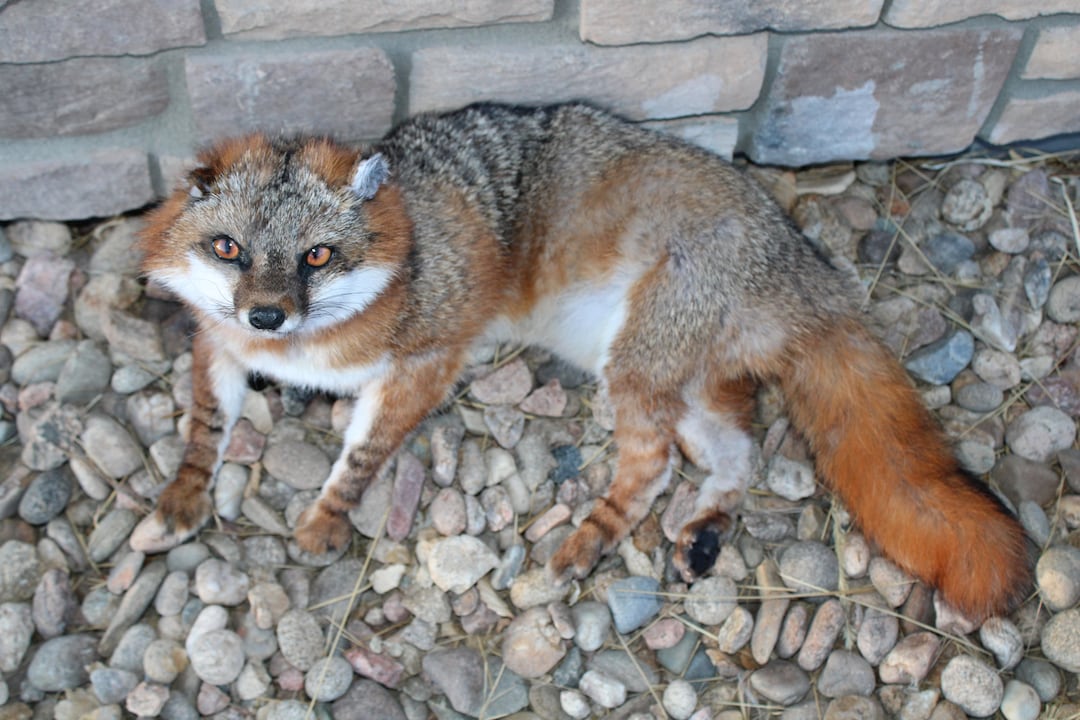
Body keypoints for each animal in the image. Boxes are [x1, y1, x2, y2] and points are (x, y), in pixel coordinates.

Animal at [131, 102, 1033, 620]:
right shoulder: (216, 342)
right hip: (673, 385)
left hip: (632, 375)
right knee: (733, 451)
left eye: (316, 256)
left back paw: (589, 541)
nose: (267, 313)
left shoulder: (425, 364)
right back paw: (706, 527)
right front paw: (180, 499)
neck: (298, 352)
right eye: (229, 249)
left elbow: (361, 456)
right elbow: (205, 427)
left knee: (651, 466)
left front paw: (323, 518)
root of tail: (800, 255)